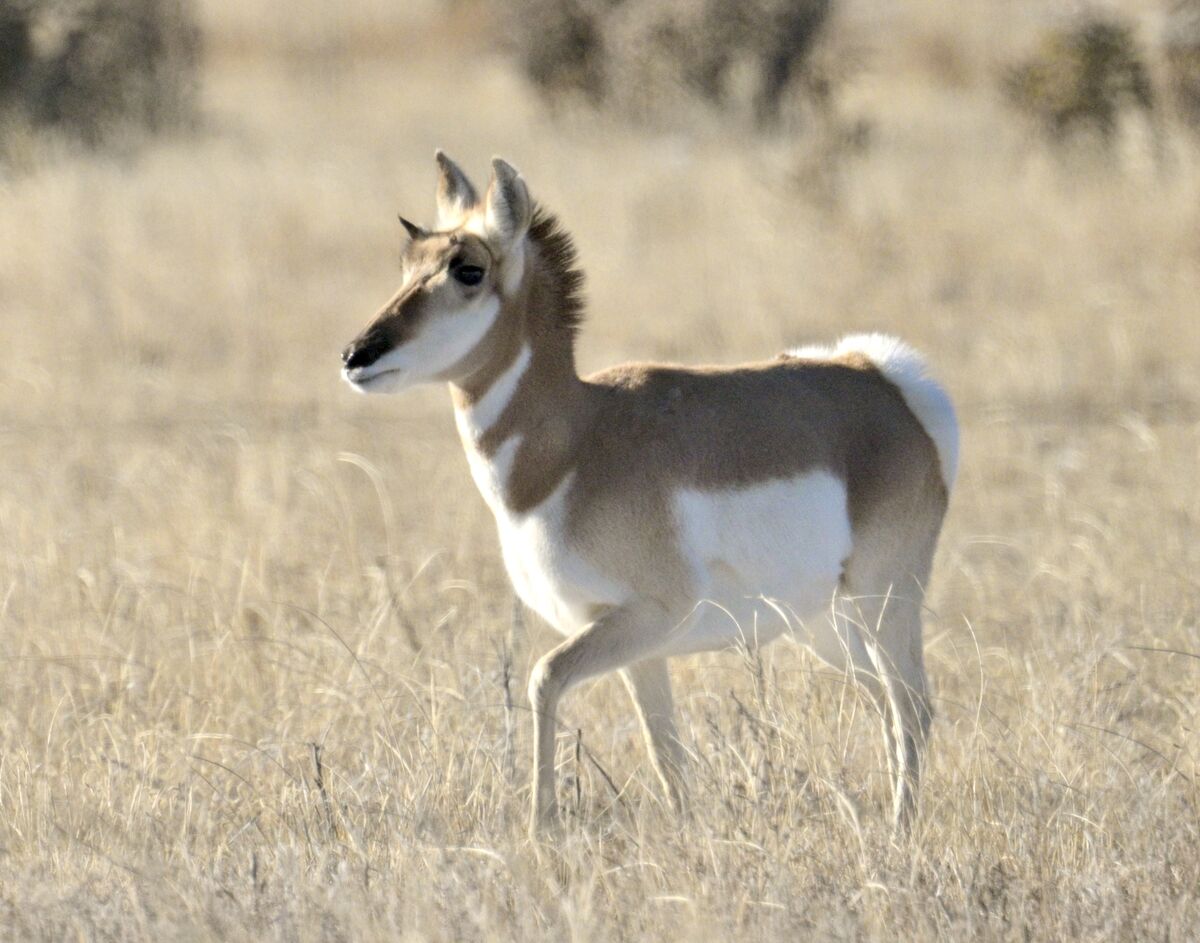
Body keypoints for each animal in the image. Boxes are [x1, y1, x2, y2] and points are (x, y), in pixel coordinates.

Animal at [341, 153, 958, 836]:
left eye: (467, 268)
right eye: (408, 262)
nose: (356, 355)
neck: (577, 440)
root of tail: (882, 378)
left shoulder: (643, 618)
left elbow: (543, 678)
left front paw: (541, 829)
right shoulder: (638, 648)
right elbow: (668, 758)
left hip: (883, 600)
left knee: (912, 705)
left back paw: (899, 834)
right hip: (827, 625)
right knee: (883, 700)